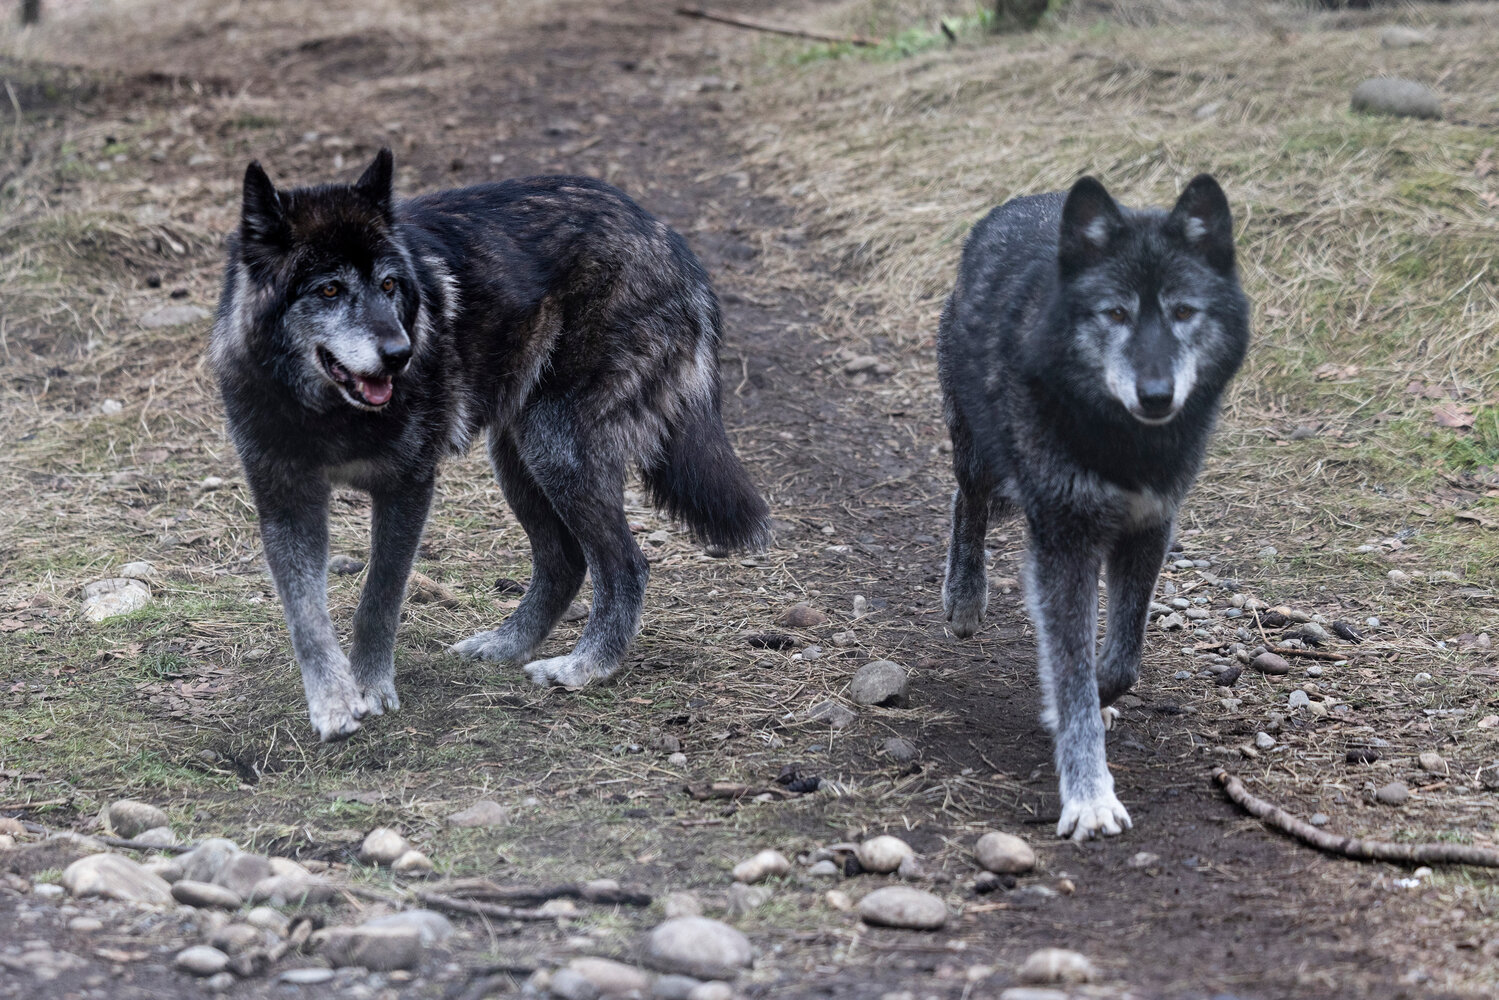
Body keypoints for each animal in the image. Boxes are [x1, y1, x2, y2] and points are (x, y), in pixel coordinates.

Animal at [211, 149, 769, 742]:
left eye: (389, 285)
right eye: (329, 290)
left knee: (625, 566)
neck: (328, 413)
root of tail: (666, 236)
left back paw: (582, 669)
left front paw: (370, 689)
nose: (401, 354)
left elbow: (378, 599)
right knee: (565, 561)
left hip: (554, 449)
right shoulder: (286, 504)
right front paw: (333, 704)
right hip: (518, 457)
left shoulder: (408, 488)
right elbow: (306, 617)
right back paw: (505, 646)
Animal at [937, 175, 1249, 840]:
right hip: (978, 452)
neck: (1123, 442)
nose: (1156, 395)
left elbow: (1118, 663)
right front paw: (1089, 797)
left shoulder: (1150, 528)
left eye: (1184, 312)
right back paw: (965, 597)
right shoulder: (1066, 540)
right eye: (1116, 313)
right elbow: (1074, 667)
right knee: (967, 501)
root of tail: (1033, 199)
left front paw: (1079, 709)